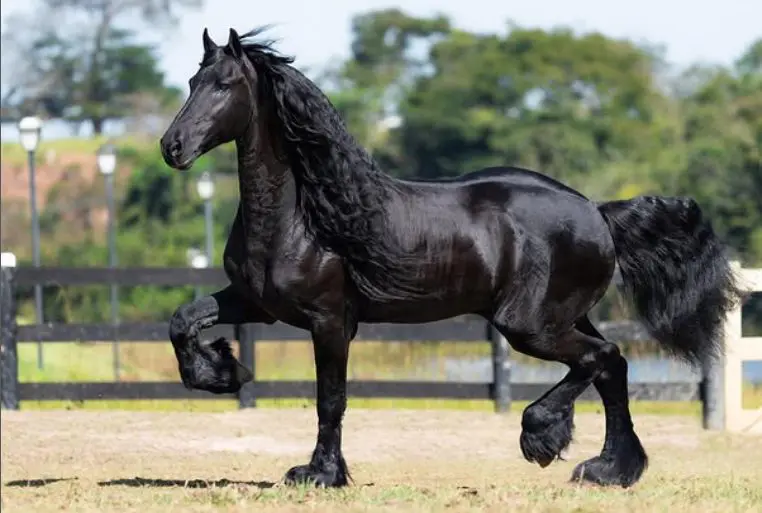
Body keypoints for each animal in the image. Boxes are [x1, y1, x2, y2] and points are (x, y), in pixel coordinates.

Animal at [159, 26, 741, 489]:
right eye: (190, 83)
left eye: (224, 85)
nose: (172, 147)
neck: (304, 217)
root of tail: (596, 211)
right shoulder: (256, 303)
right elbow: (182, 321)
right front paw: (224, 373)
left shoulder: (329, 321)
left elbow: (331, 399)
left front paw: (319, 474)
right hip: (562, 316)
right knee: (608, 367)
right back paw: (608, 469)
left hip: (528, 324)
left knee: (603, 357)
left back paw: (544, 437)